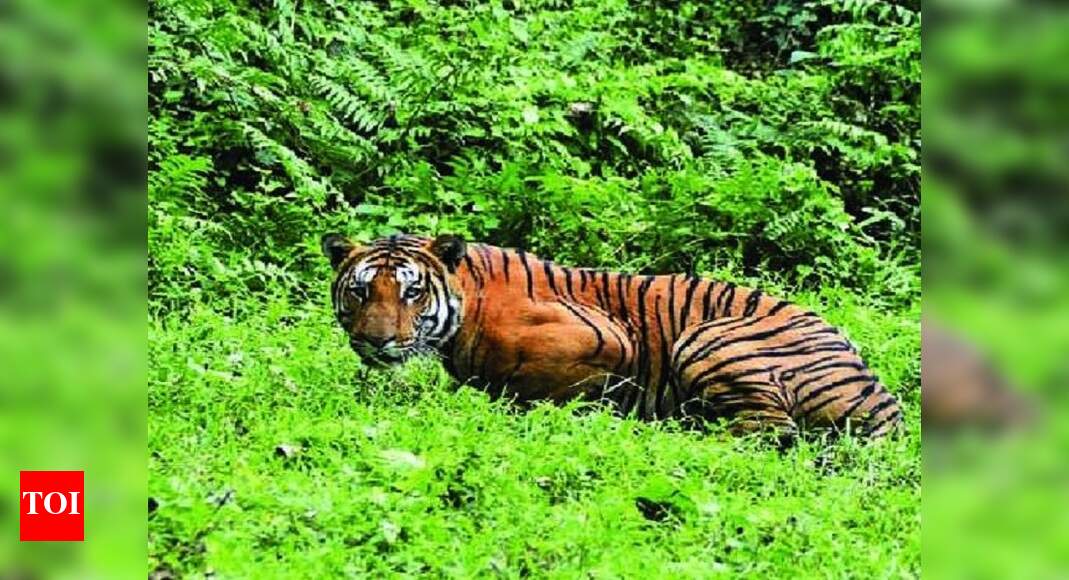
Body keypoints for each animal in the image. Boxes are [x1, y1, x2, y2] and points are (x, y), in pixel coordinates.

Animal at [322, 232, 902, 439]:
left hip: (708, 338)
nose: (375, 342)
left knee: (768, 429)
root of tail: (882, 397)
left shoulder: (609, 339)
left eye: (412, 293)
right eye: (361, 292)